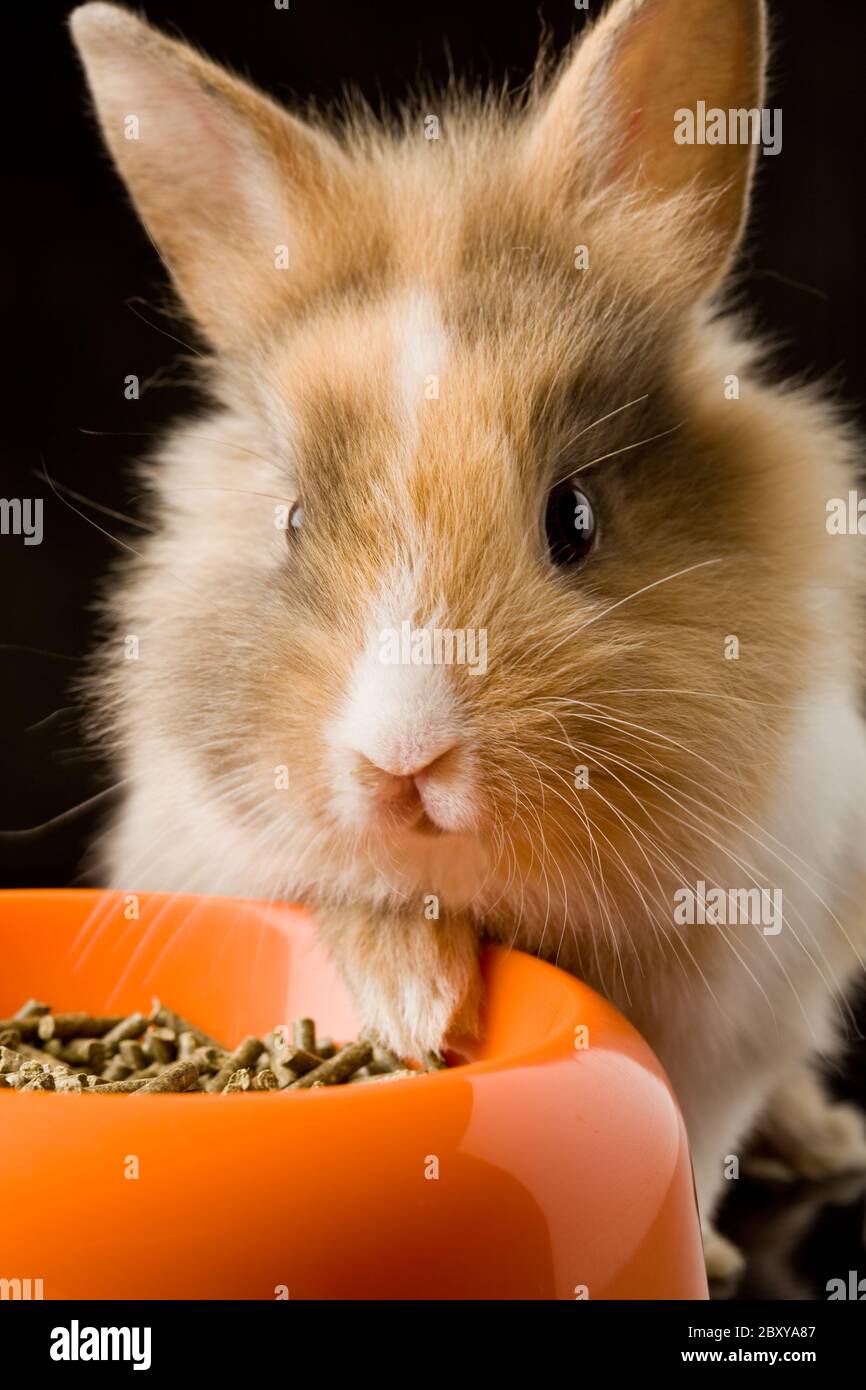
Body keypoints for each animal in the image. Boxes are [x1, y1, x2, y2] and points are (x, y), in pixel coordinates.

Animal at [71, 0, 866, 1280]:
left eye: (572, 518)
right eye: (293, 521)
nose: (404, 760)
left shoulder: (736, 1013)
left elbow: (694, 1128)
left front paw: (704, 1249)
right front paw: (416, 1007)